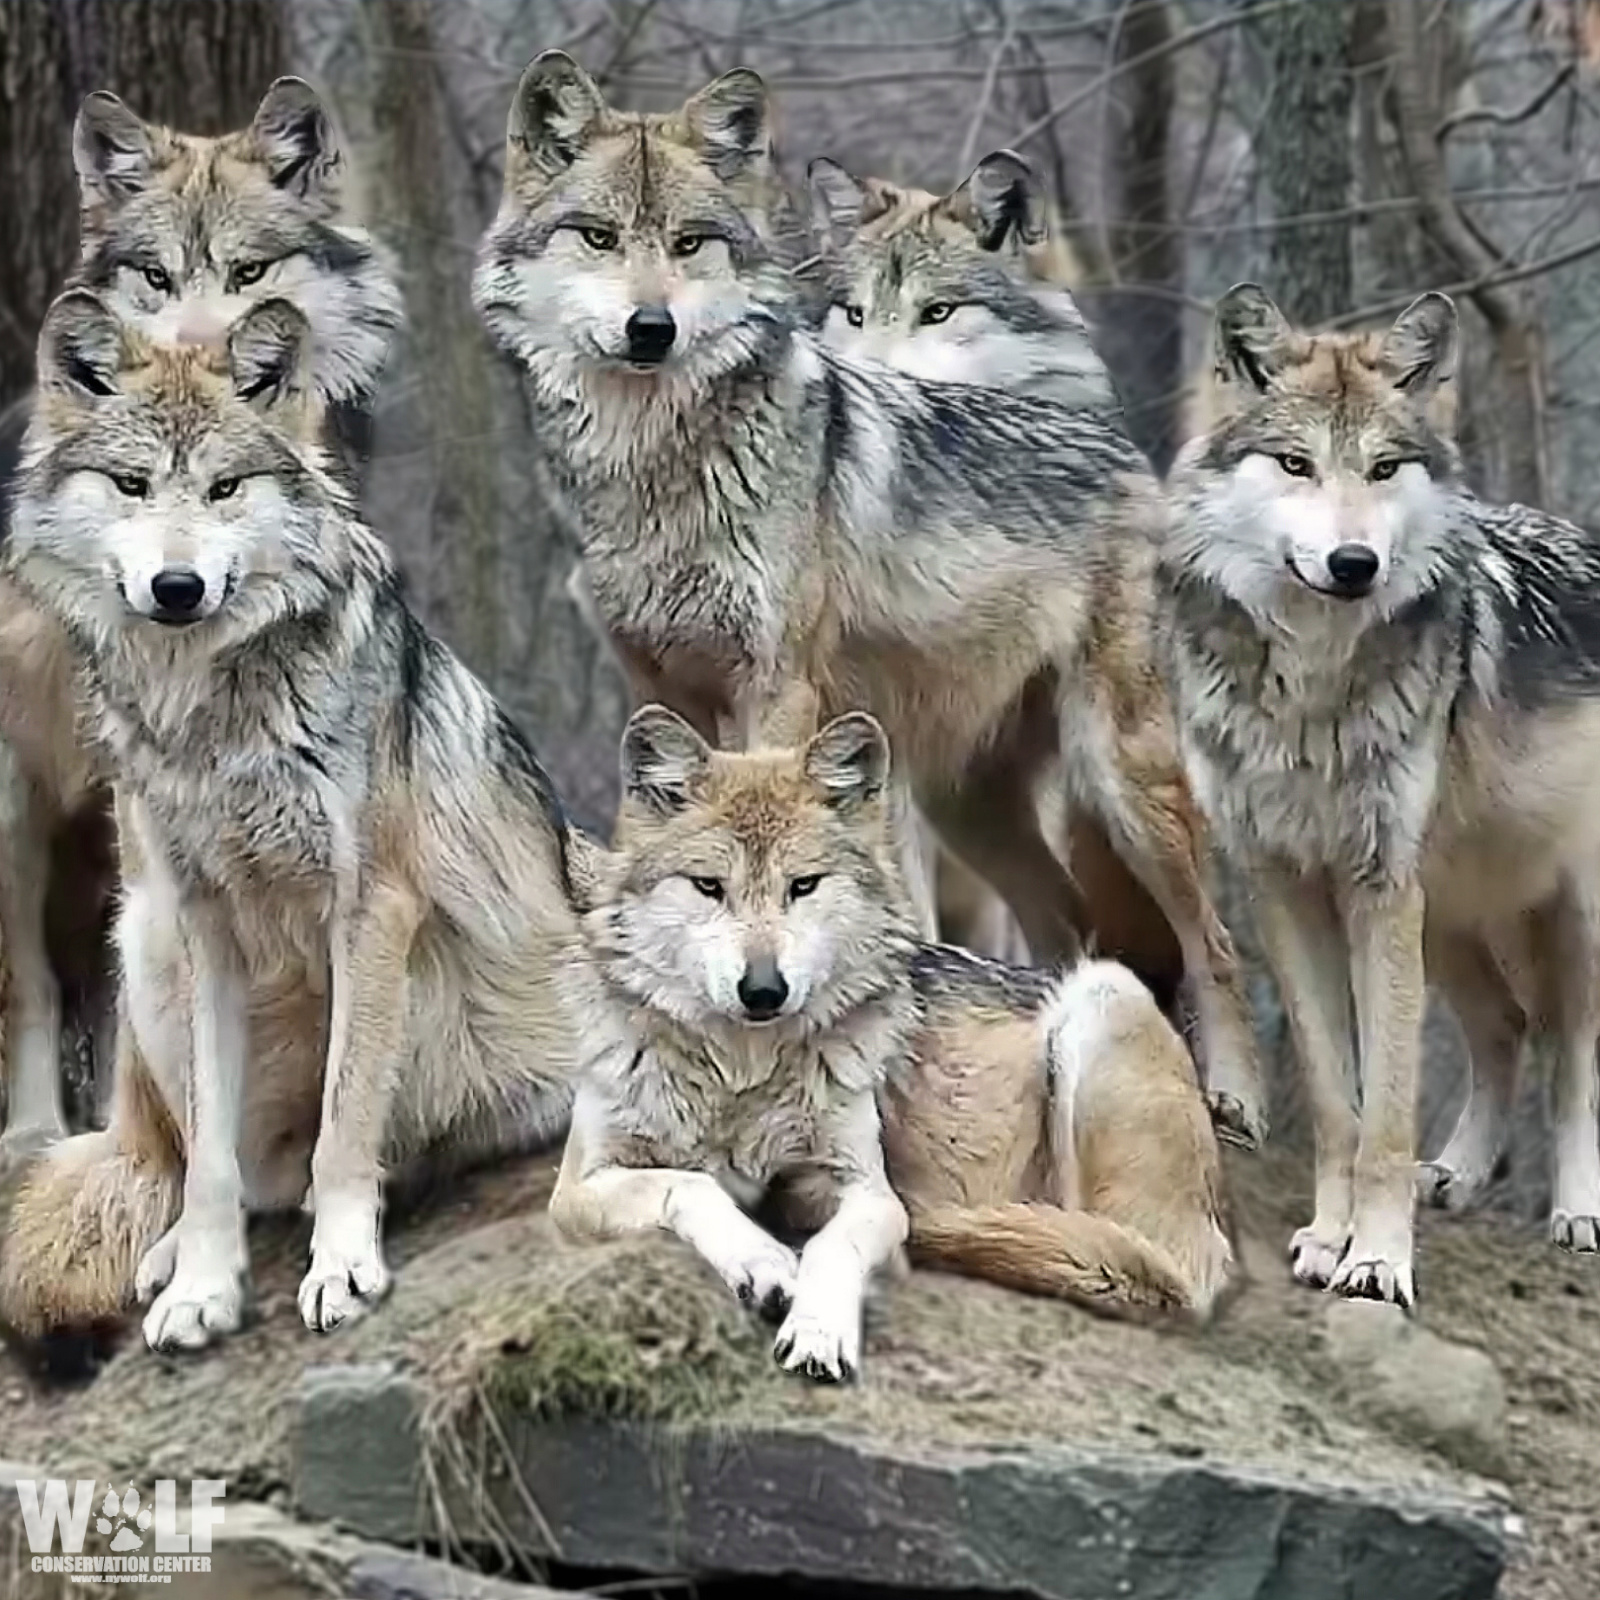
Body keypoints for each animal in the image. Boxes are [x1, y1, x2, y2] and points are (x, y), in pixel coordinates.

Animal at [0, 291, 582, 1354]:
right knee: (200, 1159)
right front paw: (201, 1287)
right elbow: (214, 1160)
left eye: (225, 488)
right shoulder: (203, 925)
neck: (216, 722)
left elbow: (346, 1120)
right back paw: (167, 1256)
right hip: (141, 936)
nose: (177, 588)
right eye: (134, 486)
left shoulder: (372, 909)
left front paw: (345, 1265)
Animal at [472, 52, 1264, 1149]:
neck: (656, 467)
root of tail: (1128, 452)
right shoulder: (656, 687)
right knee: (1071, 921)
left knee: (1213, 937)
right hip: (968, 802)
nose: (650, 328)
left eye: (689, 242)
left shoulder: (781, 687)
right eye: (597, 237)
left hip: (1125, 778)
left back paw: (1235, 1094)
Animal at [553, 704, 1231, 1380]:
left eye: (804, 886)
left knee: (1123, 1260)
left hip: (1104, 994)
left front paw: (819, 1330)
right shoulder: (574, 1193)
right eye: (709, 886)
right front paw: (763, 1262)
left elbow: (831, 1245)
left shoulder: (868, 1191)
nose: (764, 990)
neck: (741, 1073)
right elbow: (692, 1185)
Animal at [1162, 282, 1600, 1308]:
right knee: (1507, 1028)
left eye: (1384, 466)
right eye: (1296, 464)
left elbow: (1390, 1103)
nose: (1354, 563)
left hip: (1563, 917)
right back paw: (1461, 1175)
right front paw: (1330, 1238)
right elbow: (1337, 1096)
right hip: (1455, 922)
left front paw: (1378, 1260)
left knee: (1573, 1053)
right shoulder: (1288, 885)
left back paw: (1577, 1211)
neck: (1311, 692)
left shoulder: (1380, 891)